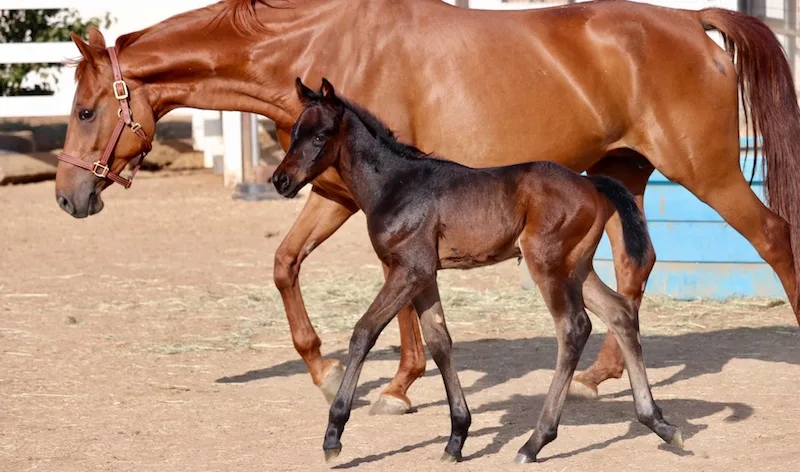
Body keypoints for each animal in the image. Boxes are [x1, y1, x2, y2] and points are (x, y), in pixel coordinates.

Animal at [54, 0, 800, 414]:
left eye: (86, 109)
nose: (68, 195)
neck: (322, 42)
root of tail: (689, 18)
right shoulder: (331, 194)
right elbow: (287, 265)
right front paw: (334, 373)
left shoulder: (368, 199)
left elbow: (397, 299)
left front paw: (390, 388)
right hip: (623, 174)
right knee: (634, 266)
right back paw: (598, 376)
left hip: (706, 171)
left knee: (773, 236)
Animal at [270, 77, 681, 463]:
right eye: (294, 133)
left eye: (320, 136)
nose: (280, 180)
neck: (395, 185)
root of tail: (591, 182)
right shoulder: (425, 276)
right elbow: (440, 341)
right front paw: (457, 437)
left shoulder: (410, 269)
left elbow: (364, 331)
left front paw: (333, 433)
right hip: (576, 268)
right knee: (620, 311)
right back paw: (659, 423)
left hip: (547, 265)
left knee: (573, 328)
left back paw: (535, 442)